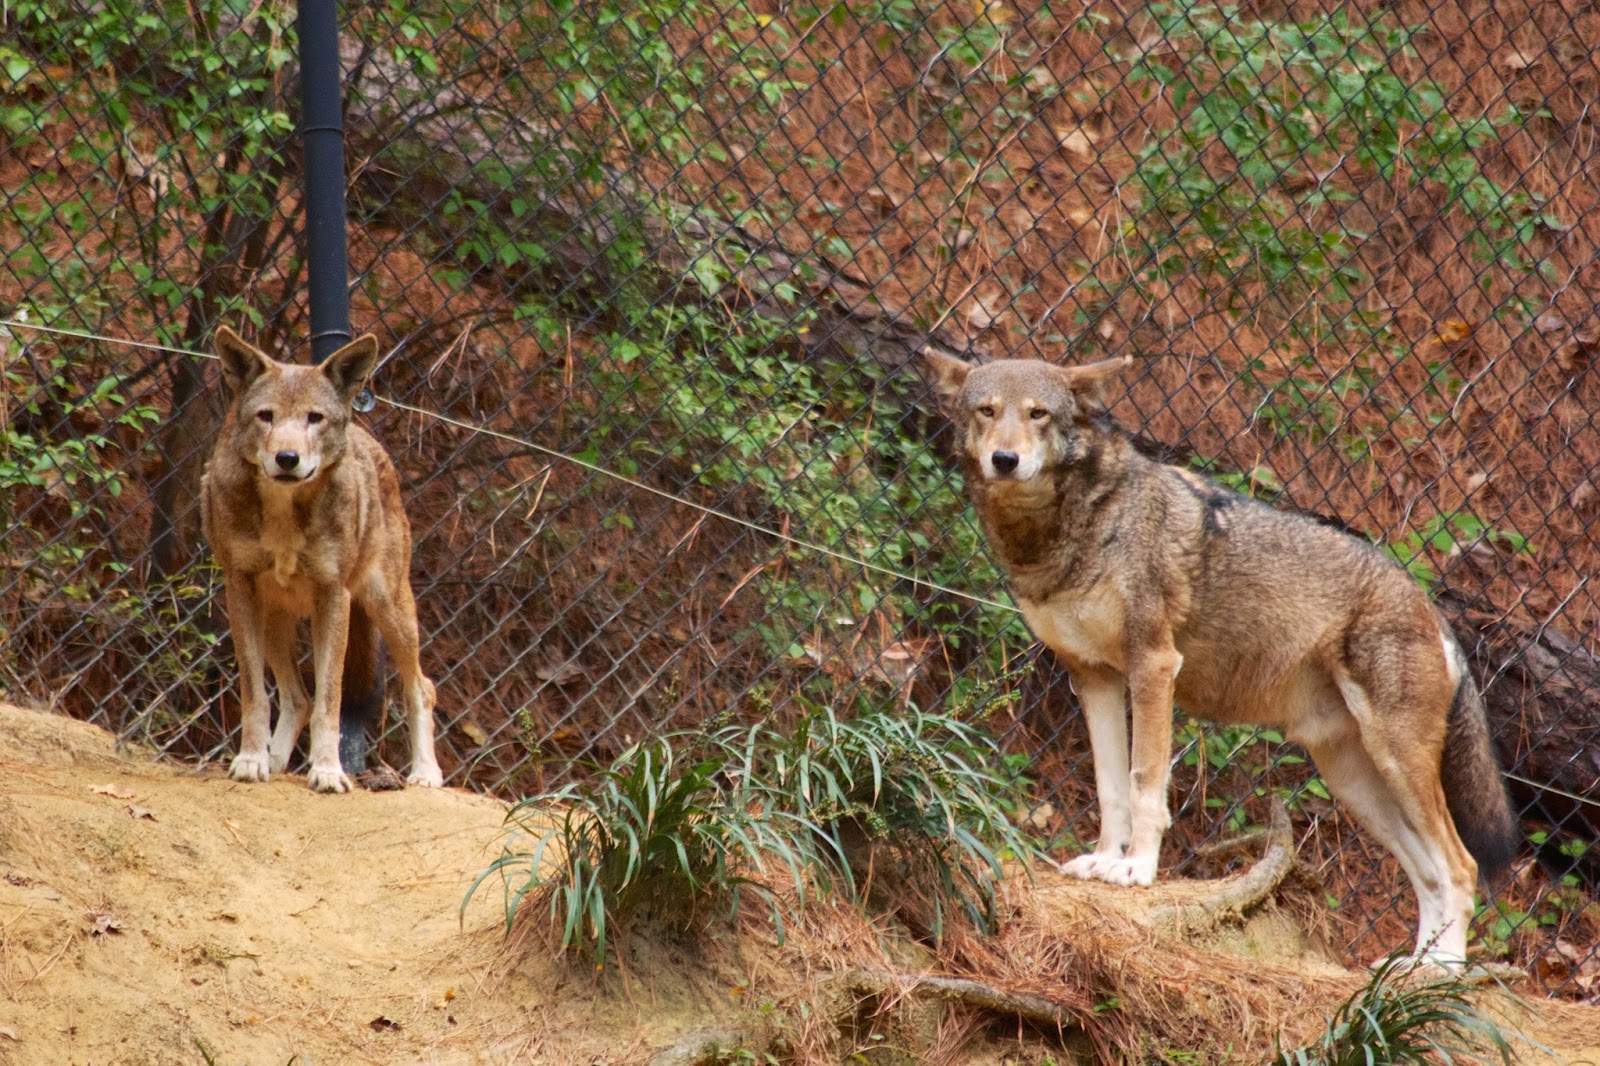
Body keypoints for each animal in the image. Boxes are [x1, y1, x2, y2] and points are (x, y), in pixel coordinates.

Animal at [201, 326, 444, 793]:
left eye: (314, 418)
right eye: (266, 416)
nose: (287, 458)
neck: (284, 507)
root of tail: (371, 440)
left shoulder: (335, 596)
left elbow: (331, 700)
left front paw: (329, 771)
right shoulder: (239, 589)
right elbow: (256, 695)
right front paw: (251, 760)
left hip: (389, 609)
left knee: (421, 687)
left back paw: (425, 772)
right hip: (274, 617)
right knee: (297, 698)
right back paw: (276, 761)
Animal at [925, 351, 1517, 964]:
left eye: (1037, 413)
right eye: (987, 410)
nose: (1005, 459)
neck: (1065, 532)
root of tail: (1433, 609)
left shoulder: (1153, 665)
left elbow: (1143, 781)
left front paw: (1136, 868)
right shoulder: (1093, 678)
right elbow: (1110, 784)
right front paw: (1105, 860)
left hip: (1396, 763)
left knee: (1461, 867)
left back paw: (1442, 971)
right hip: (1354, 780)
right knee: (1430, 874)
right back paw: (1410, 971)